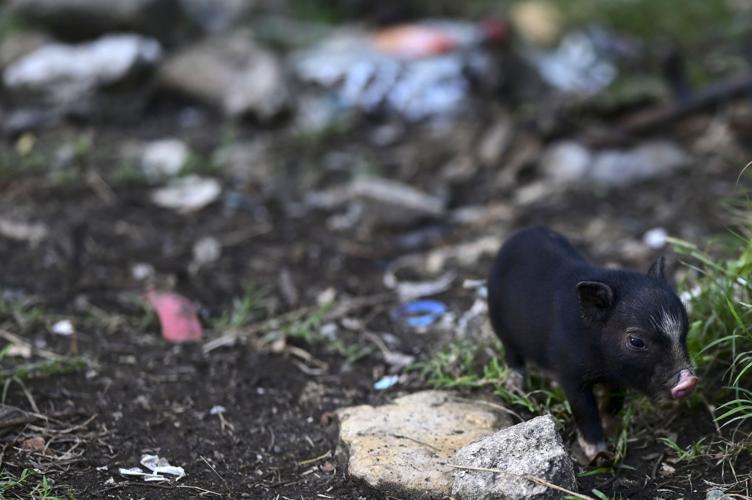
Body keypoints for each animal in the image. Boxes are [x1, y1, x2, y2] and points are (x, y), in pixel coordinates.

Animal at [487, 225, 698, 463]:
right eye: (636, 341)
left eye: (685, 329)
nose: (689, 380)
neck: (602, 364)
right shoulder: (569, 373)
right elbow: (584, 411)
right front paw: (598, 453)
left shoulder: (619, 376)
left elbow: (614, 402)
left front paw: (612, 428)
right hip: (501, 327)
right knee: (512, 355)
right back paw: (515, 386)